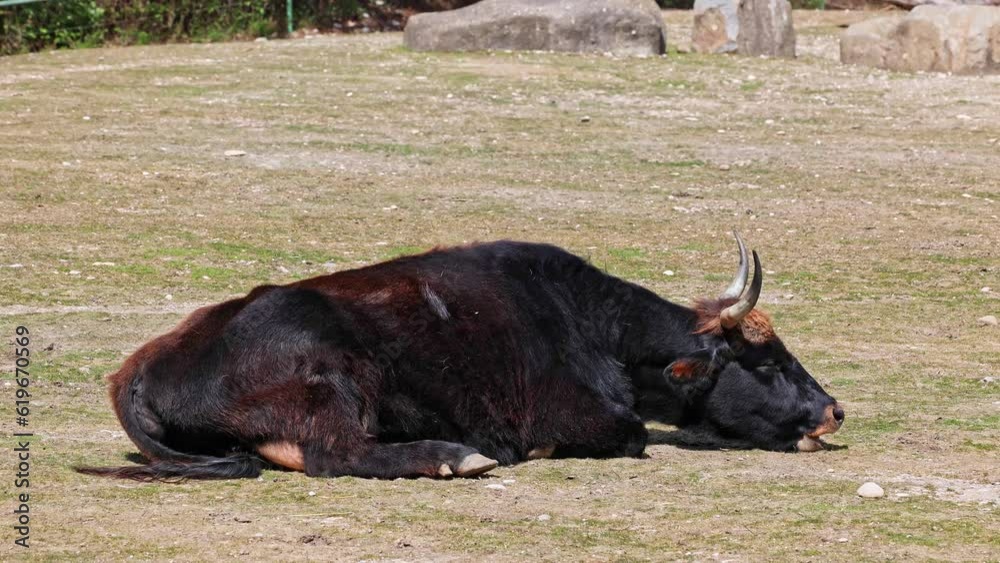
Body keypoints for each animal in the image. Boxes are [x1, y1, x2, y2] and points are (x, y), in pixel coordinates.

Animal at [77, 233, 844, 481]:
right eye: (766, 363)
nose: (833, 411)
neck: (587, 321)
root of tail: (136, 369)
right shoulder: (584, 418)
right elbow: (624, 434)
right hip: (334, 384)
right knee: (336, 454)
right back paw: (455, 454)